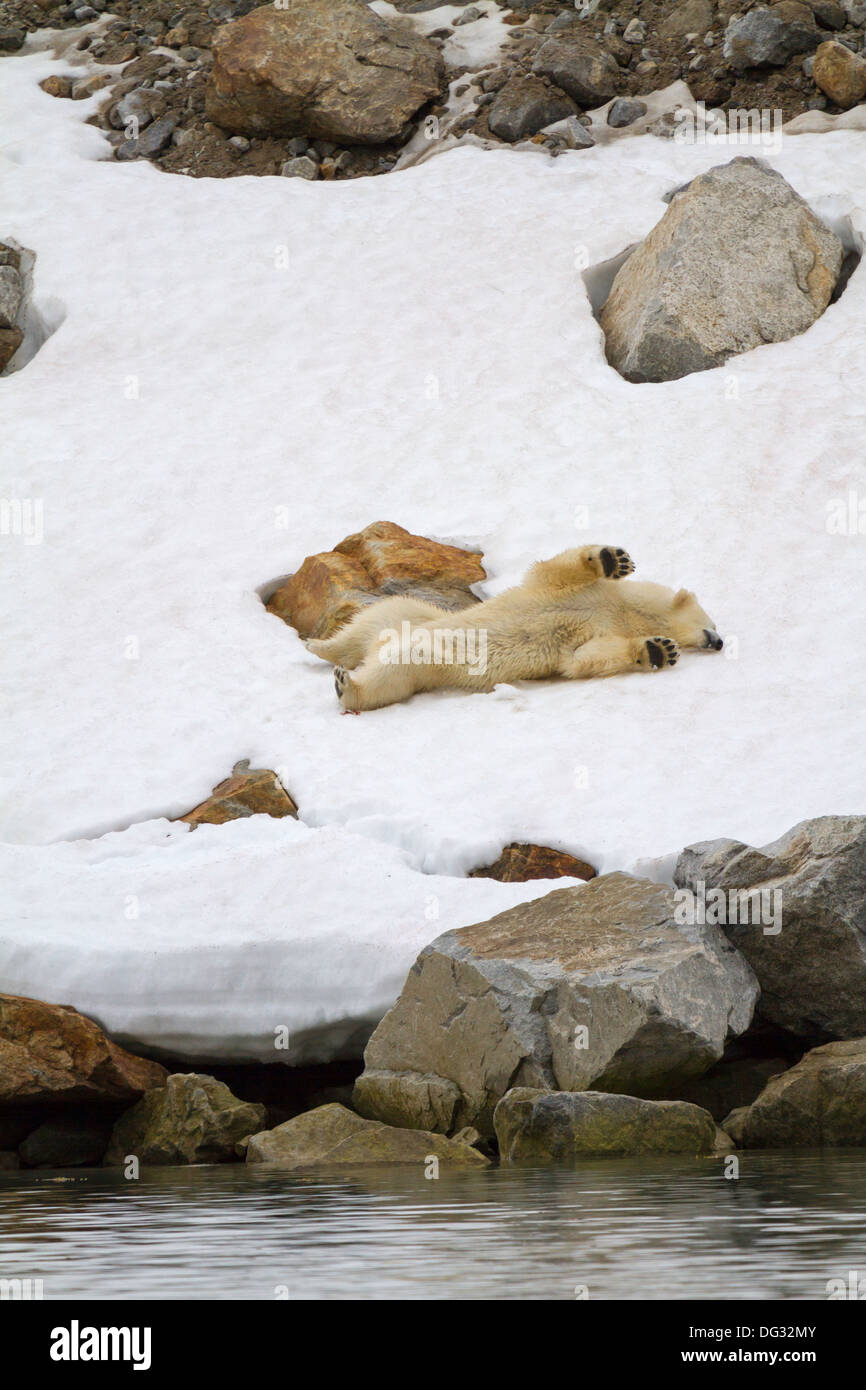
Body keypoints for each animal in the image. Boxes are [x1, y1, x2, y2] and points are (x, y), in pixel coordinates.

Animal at [305, 544, 724, 712]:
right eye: (714, 622)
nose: (720, 642)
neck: (622, 611)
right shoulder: (565, 590)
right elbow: (555, 570)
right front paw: (612, 559)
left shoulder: (599, 631)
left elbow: (583, 658)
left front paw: (658, 649)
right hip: (417, 622)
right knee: (379, 619)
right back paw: (320, 649)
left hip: (418, 657)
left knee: (387, 671)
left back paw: (344, 679)